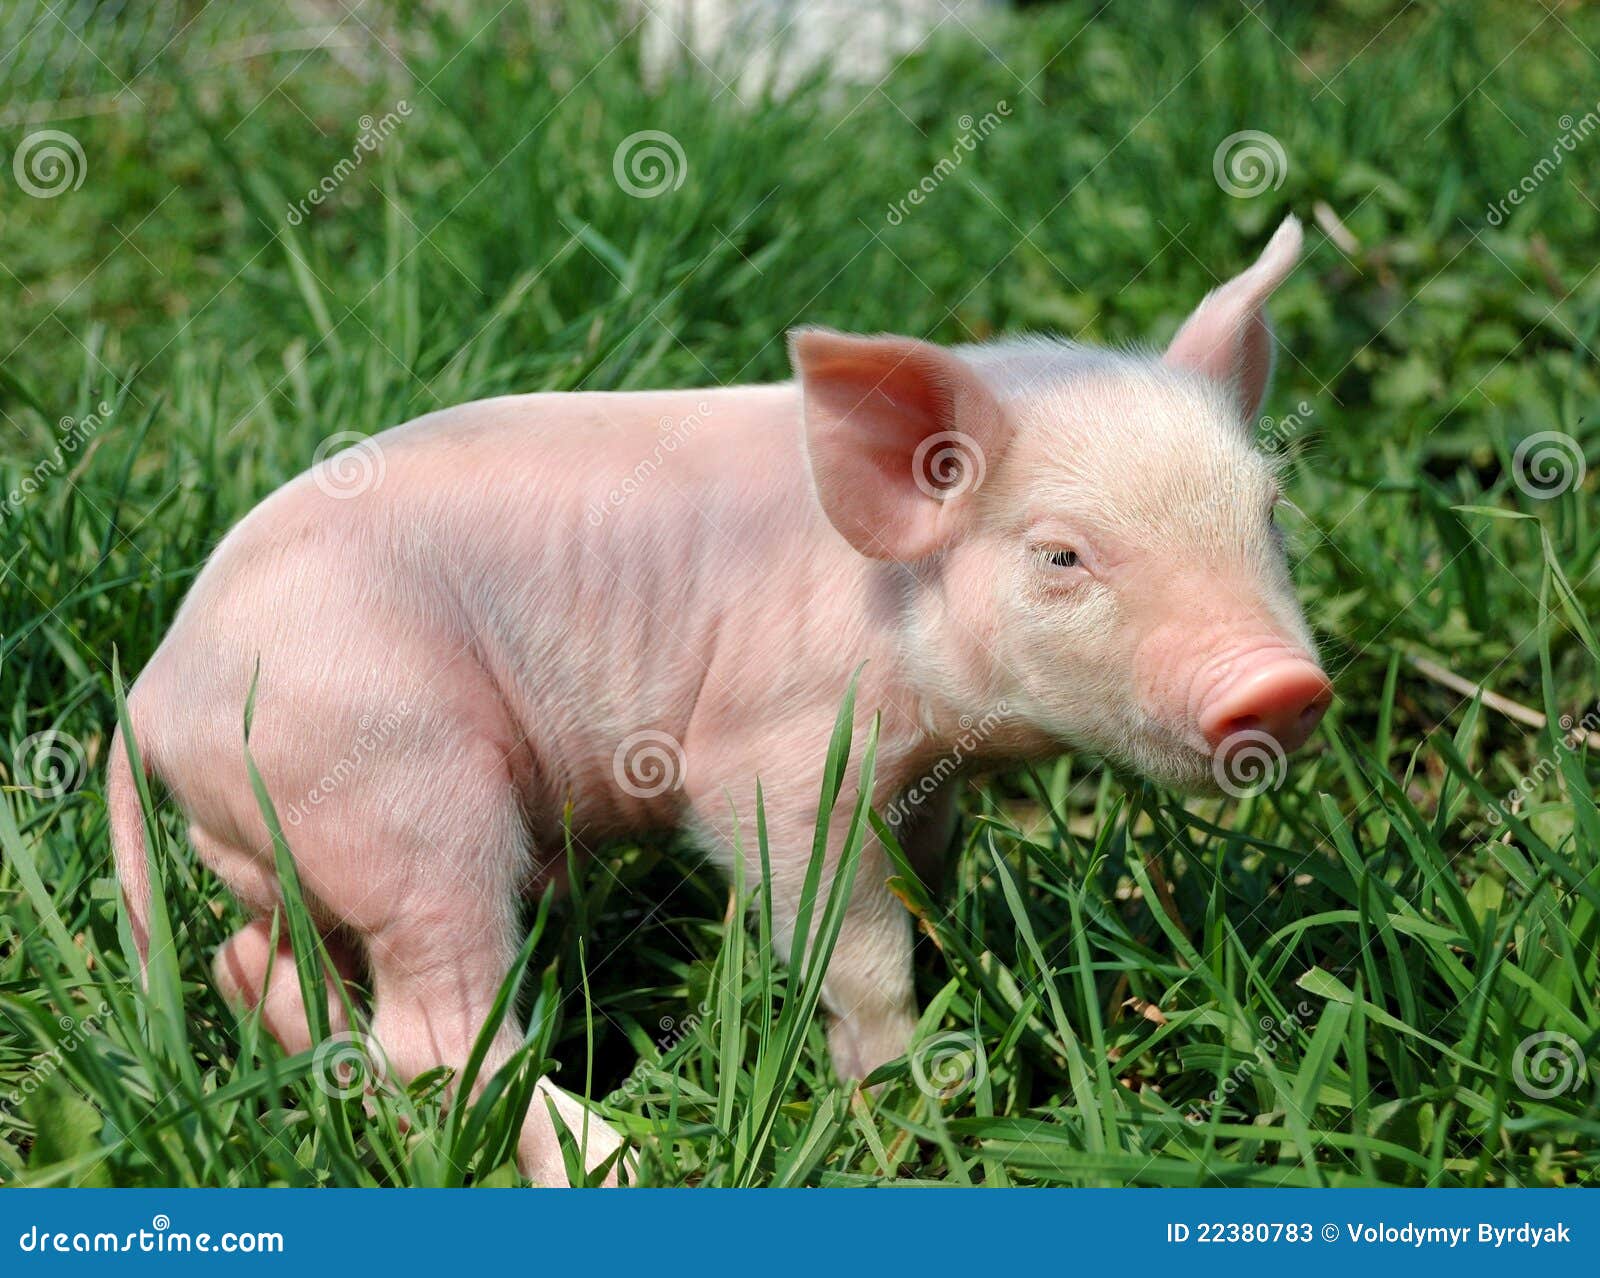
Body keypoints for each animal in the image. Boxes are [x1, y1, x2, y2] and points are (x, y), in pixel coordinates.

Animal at [109, 215, 1330, 1186]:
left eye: (1269, 513)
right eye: (1062, 555)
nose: (1284, 684)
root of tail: (154, 693)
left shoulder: (922, 777)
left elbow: (928, 869)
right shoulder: (771, 753)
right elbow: (847, 932)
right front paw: (904, 1089)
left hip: (288, 843)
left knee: (256, 964)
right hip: (403, 788)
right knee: (436, 1029)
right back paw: (619, 1160)